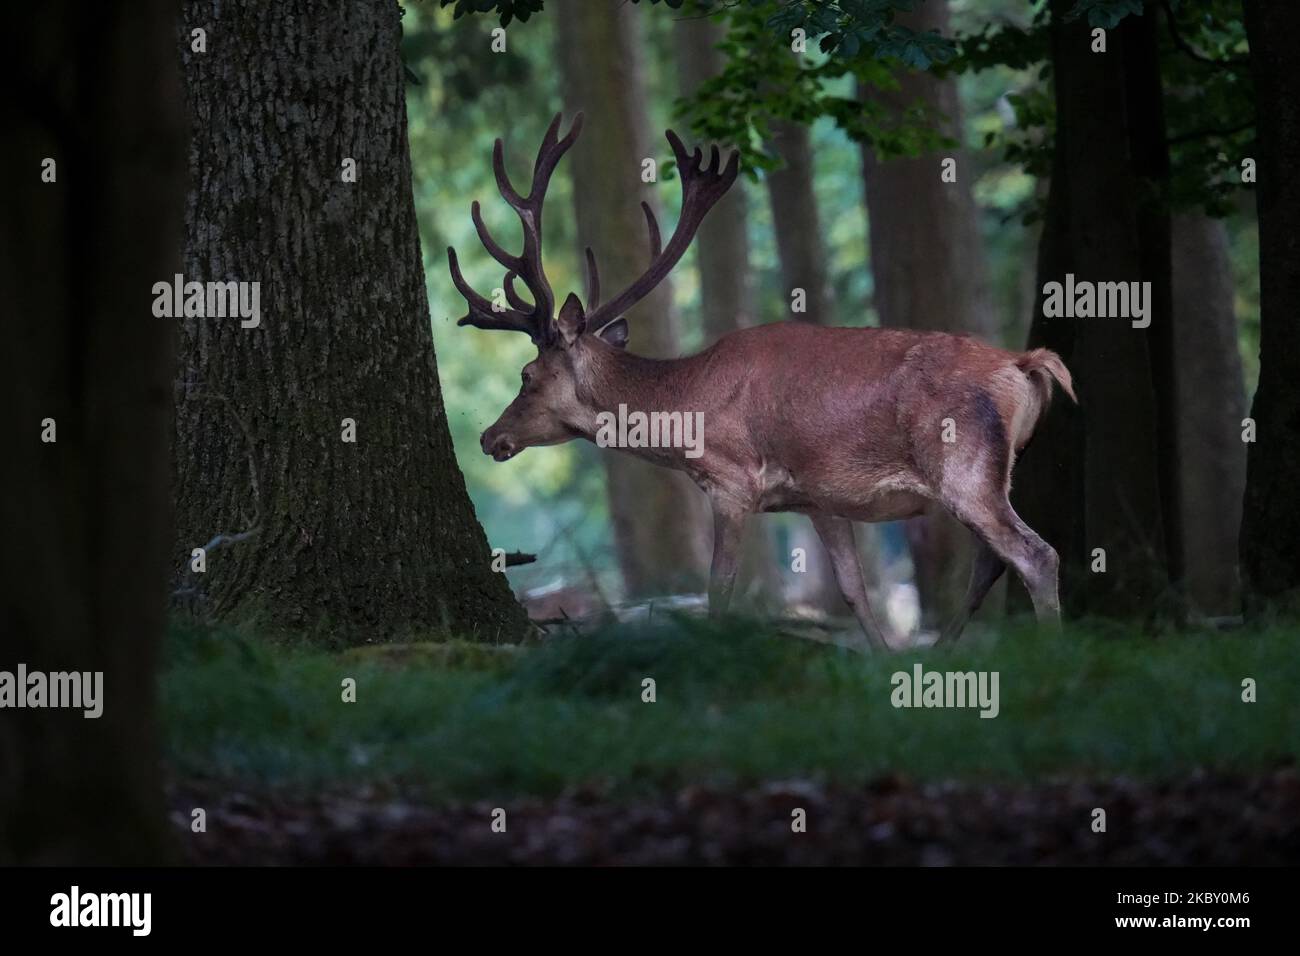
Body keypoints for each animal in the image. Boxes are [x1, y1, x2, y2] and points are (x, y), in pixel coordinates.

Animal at [449, 113, 1076, 651]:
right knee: (991, 562)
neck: (689, 407)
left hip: (963, 466)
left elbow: (719, 590)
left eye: (527, 375)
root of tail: (1024, 365)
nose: (488, 437)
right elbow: (854, 591)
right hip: (993, 472)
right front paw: (880, 660)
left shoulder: (733, 481)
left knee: (1035, 554)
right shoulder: (822, 498)